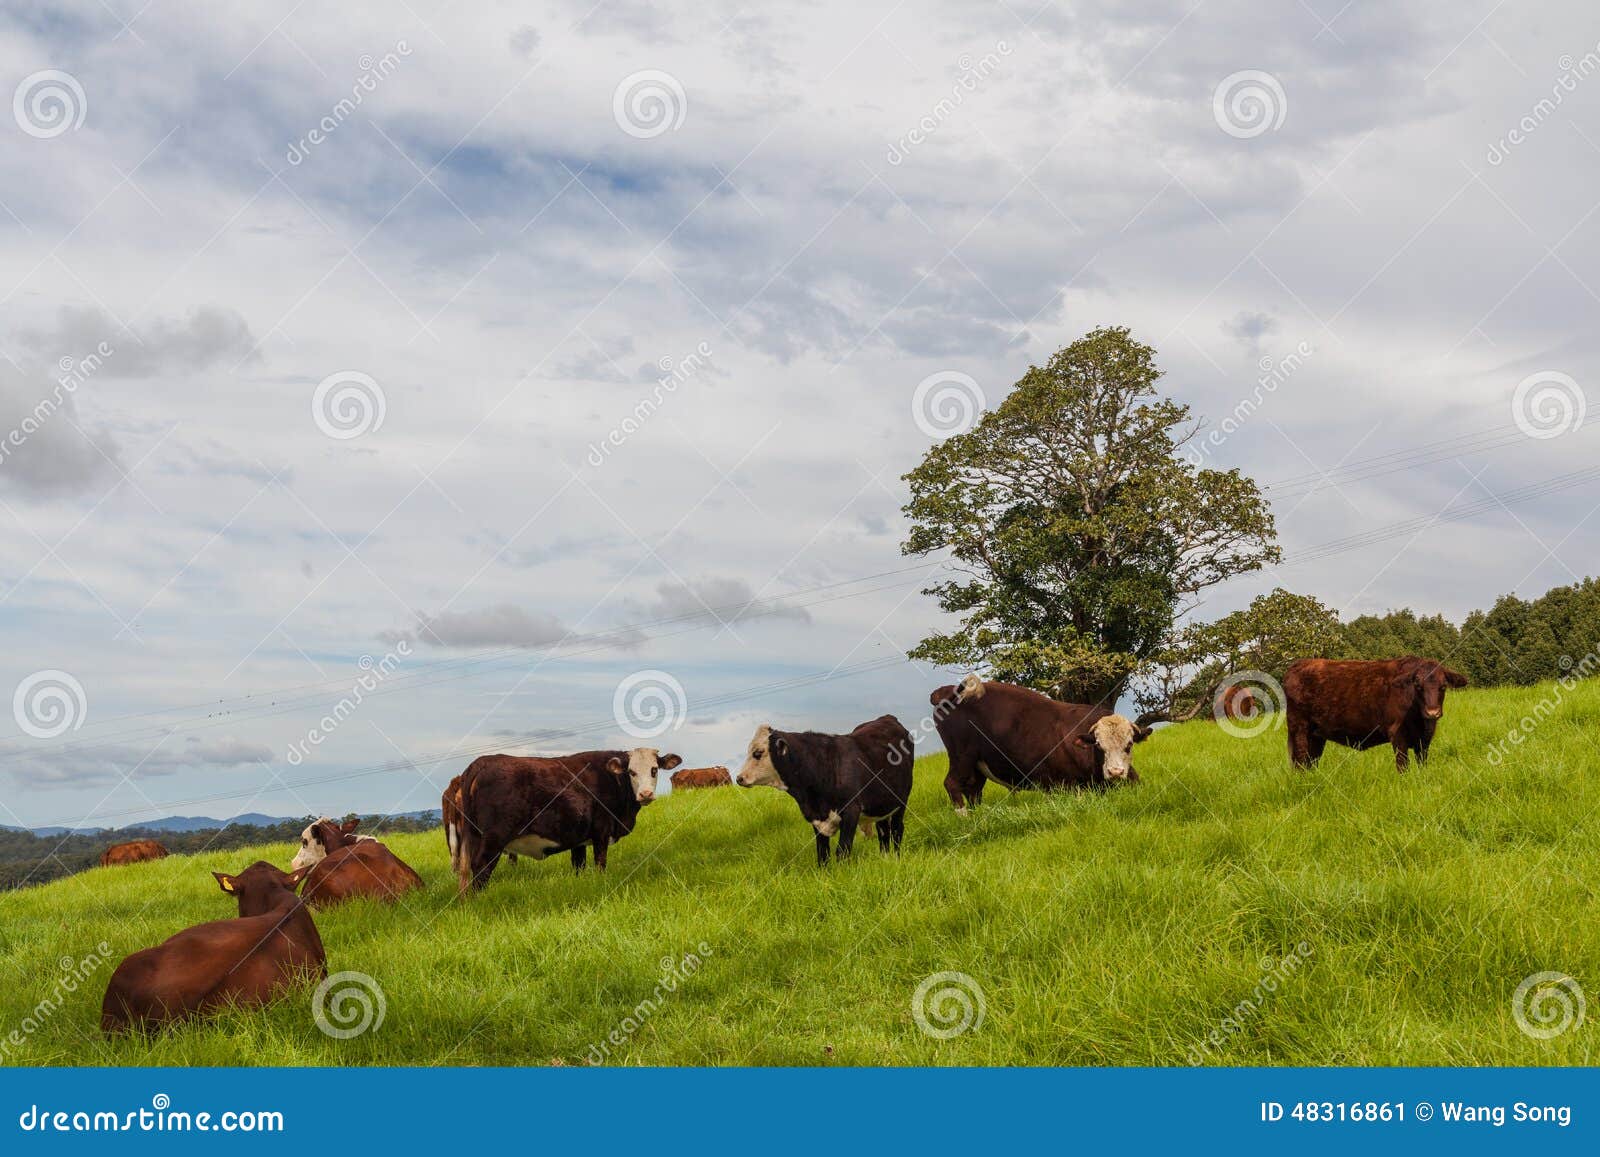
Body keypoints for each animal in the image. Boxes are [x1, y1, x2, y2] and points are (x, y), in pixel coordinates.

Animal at [454, 748, 681, 893]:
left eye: (654, 769)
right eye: (631, 772)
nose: (645, 794)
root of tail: (479, 763)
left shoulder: (578, 840)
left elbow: (579, 866)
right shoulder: (601, 832)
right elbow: (600, 863)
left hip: (474, 836)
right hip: (493, 838)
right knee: (481, 867)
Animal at [735, 716, 911, 865]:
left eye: (758, 753)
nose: (739, 778)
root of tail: (888, 718)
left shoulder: (851, 811)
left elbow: (842, 850)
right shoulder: (817, 819)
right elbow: (822, 854)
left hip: (901, 802)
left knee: (897, 830)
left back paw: (896, 859)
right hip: (881, 805)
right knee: (883, 832)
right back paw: (885, 859)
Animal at [931, 675, 1150, 813]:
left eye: (1129, 744)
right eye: (1098, 745)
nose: (1115, 772)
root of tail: (946, 691)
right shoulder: (1065, 786)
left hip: (976, 766)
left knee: (973, 789)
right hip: (961, 756)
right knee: (953, 784)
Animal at [1283, 656, 1468, 773]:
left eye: (1443, 686)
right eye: (1418, 685)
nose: (1432, 712)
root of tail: (1298, 664)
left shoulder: (1424, 741)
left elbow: (1422, 765)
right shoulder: (1397, 735)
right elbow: (1403, 766)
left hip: (1316, 735)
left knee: (1310, 762)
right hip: (1299, 729)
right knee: (1300, 761)